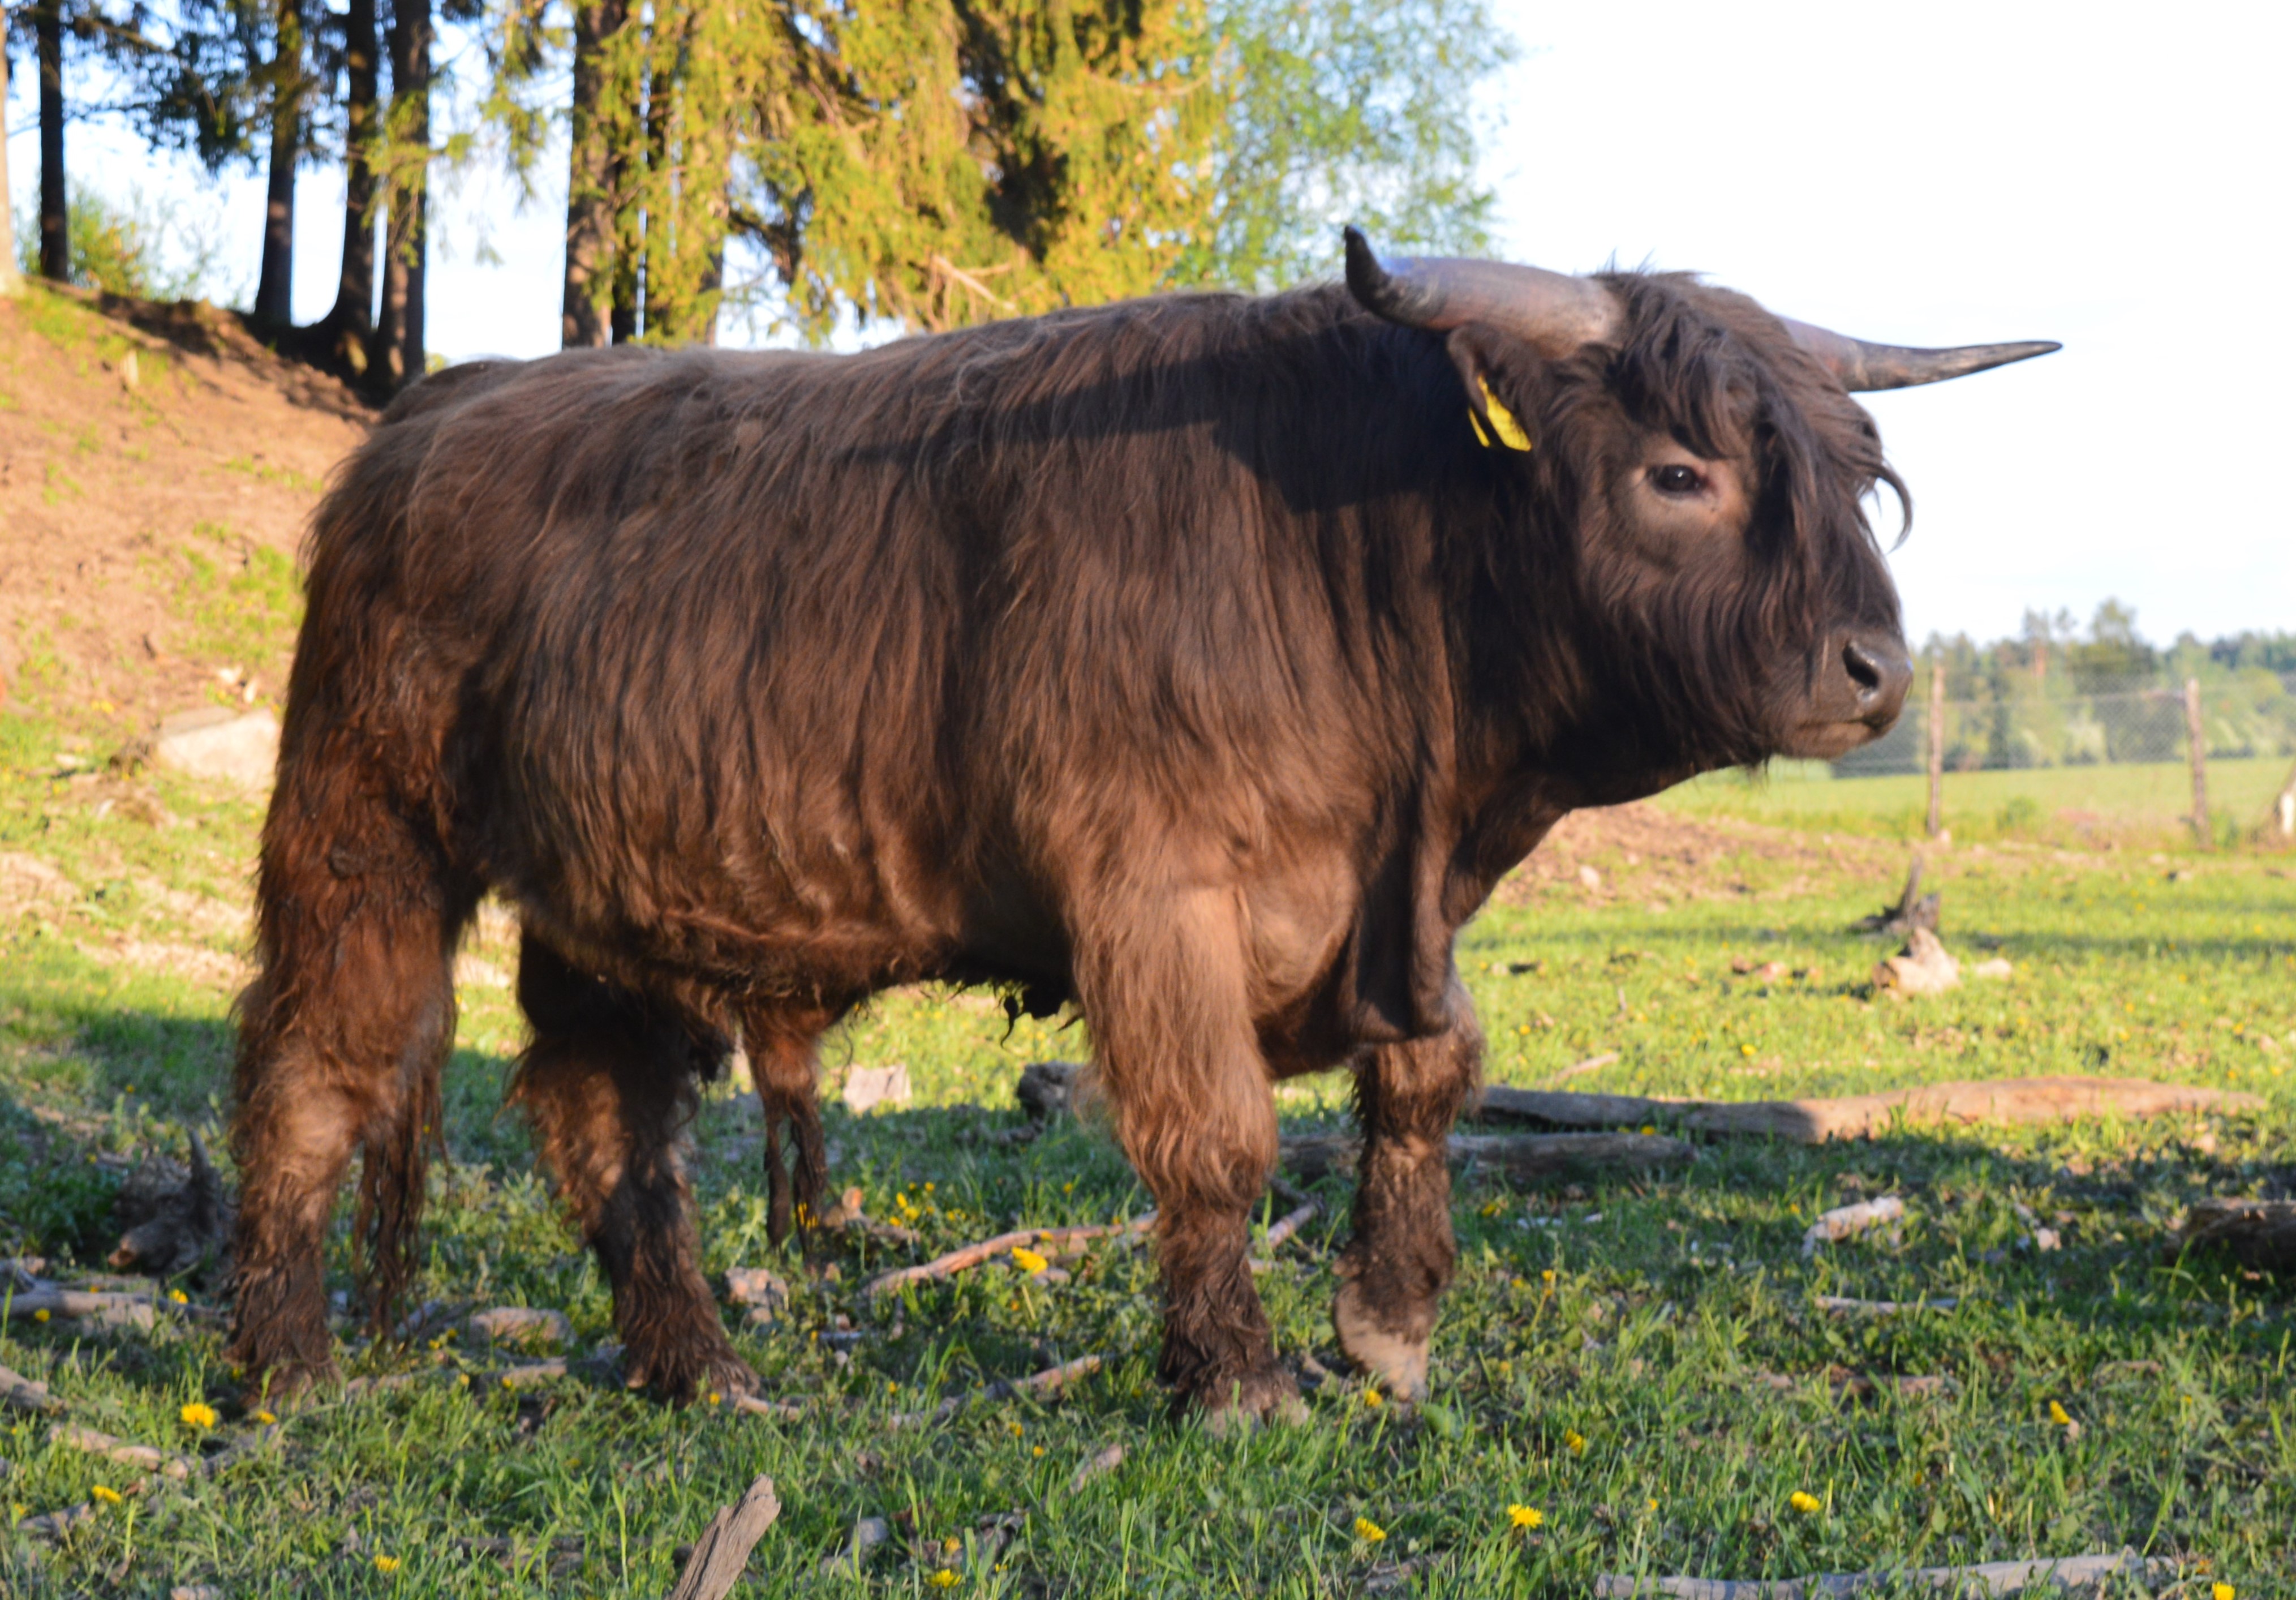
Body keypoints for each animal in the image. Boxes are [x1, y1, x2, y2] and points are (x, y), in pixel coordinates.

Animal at [226, 228, 2053, 1422]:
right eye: (1679, 473)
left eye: (1862, 478)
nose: (1872, 671)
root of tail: (431, 409)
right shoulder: (1153, 890)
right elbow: (1216, 1136)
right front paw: (1236, 1377)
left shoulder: (1392, 912)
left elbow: (1428, 1071)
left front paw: (1386, 1321)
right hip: (361, 829)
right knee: (315, 1071)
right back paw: (286, 1369)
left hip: (615, 901)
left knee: (609, 1123)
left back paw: (705, 1370)